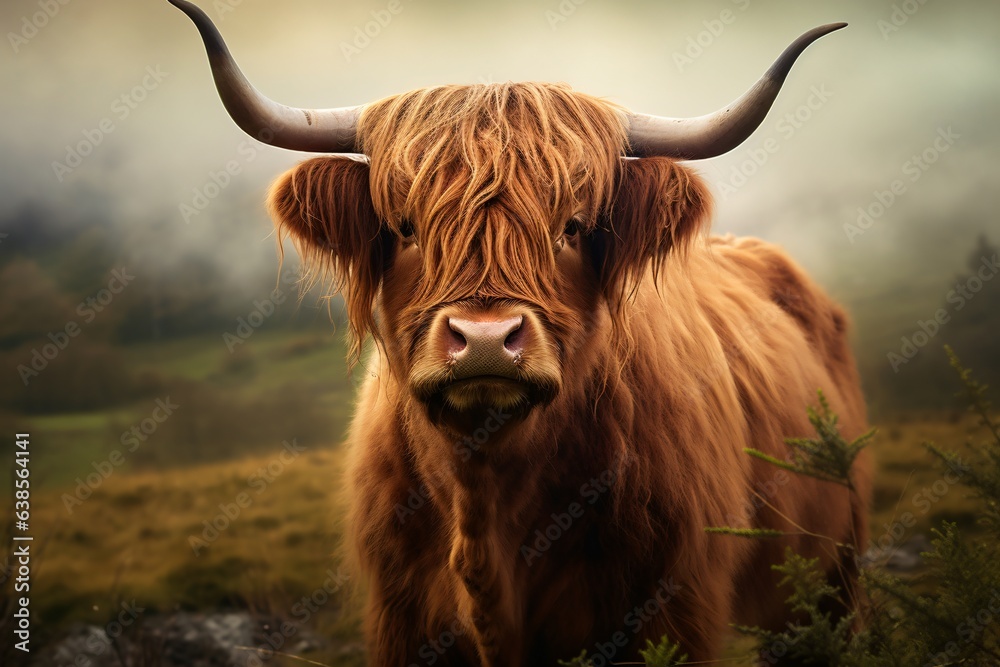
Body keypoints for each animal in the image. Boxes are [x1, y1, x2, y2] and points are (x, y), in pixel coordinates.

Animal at [168, 2, 871, 665]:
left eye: (573, 227)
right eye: (404, 227)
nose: (485, 339)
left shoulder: (674, 610)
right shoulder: (399, 619)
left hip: (836, 575)